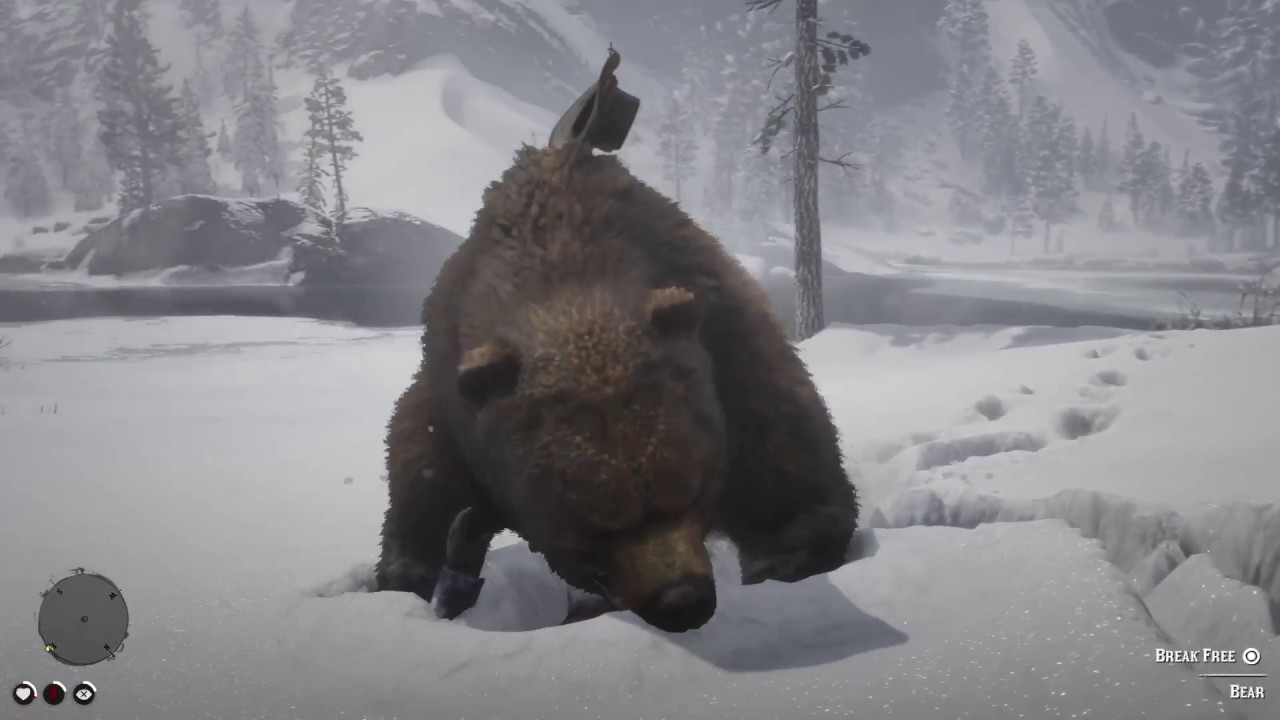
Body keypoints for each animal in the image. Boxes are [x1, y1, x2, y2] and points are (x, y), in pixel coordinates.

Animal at [375, 142, 859, 633]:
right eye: (592, 526)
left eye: (691, 490)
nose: (683, 601)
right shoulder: (449, 400)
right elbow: (420, 479)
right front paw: (428, 570)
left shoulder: (724, 340)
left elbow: (784, 453)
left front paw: (788, 553)